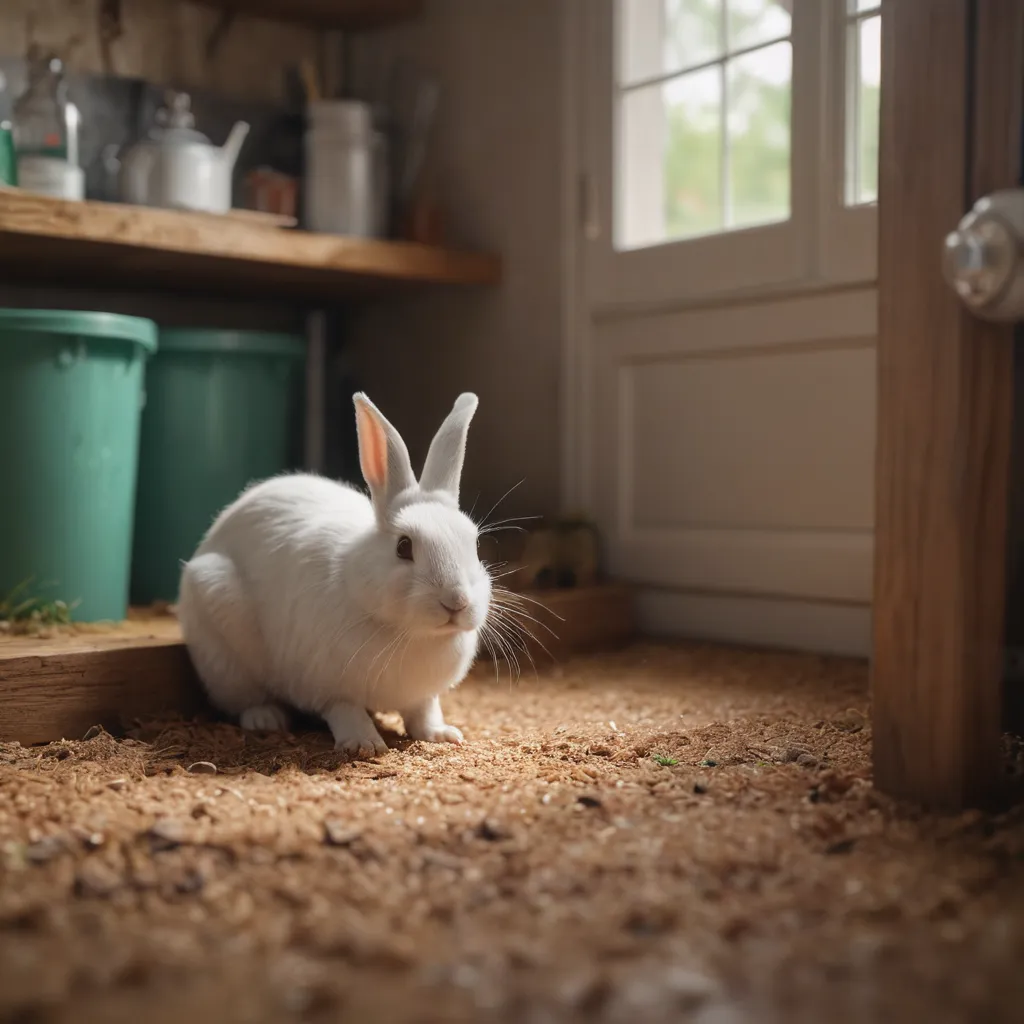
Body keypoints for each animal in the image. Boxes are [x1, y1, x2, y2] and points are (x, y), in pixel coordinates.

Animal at [176, 391, 491, 758]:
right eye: (403, 547)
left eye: (474, 543)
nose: (456, 601)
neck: (409, 633)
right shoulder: (327, 687)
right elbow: (345, 710)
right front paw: (364, 744)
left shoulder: (422, 696)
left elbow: (424, 711)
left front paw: (441, 734)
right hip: (224, 651)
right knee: (245, 700)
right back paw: (266, 719)